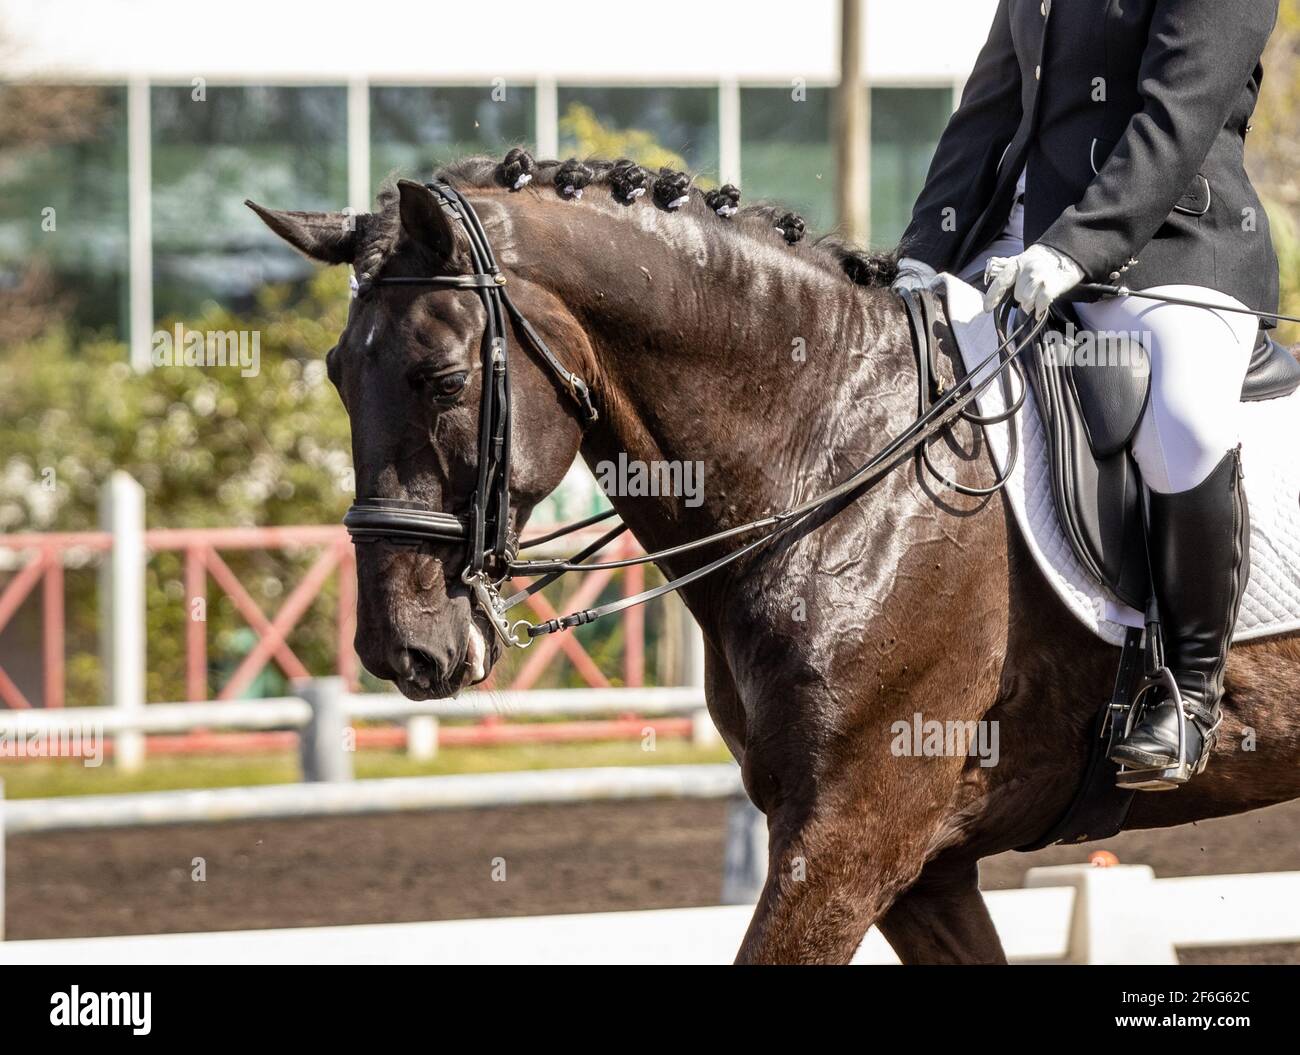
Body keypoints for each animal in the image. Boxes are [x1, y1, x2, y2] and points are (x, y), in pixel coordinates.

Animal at [248, 153, 1300, 964]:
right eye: (336, 373)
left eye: (442, 378)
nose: (399, 647)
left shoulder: (850, 833)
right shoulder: (920, 863)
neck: (837, 452)